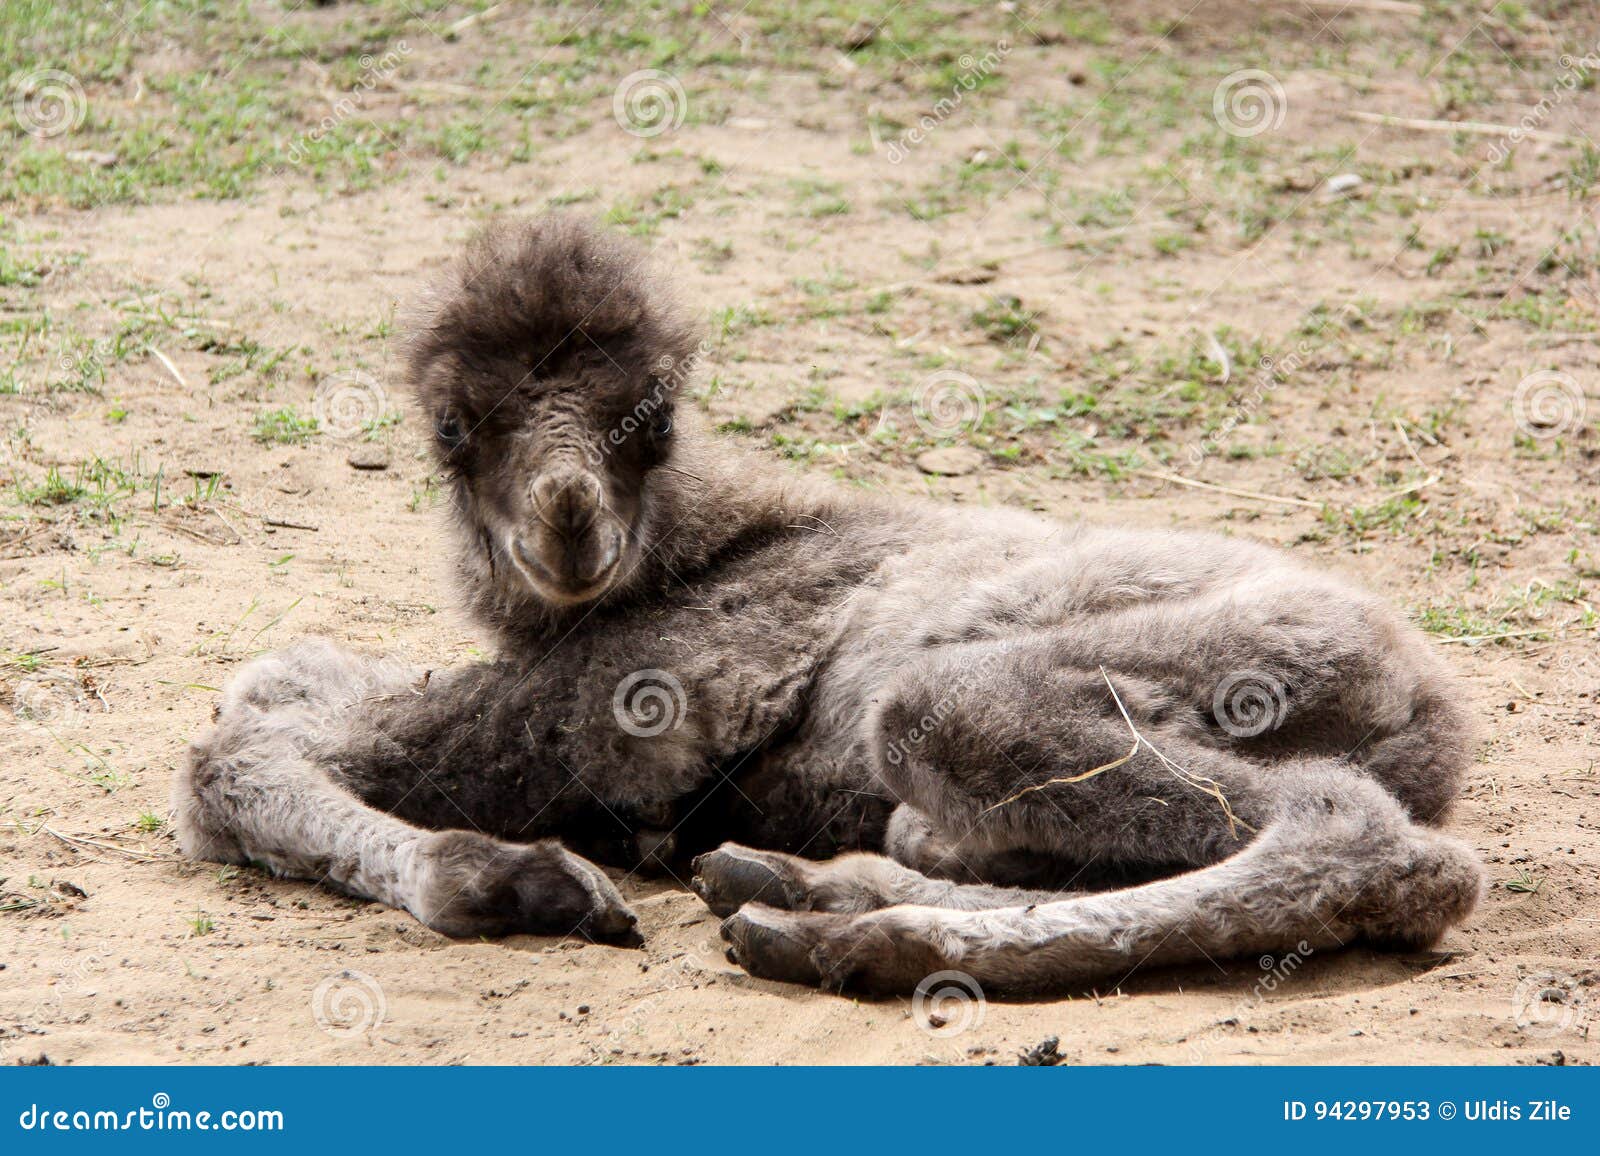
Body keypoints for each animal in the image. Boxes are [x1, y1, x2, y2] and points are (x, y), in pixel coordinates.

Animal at [173, 215, 1483, 995]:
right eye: (452, 427)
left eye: (652, 414)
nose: (569, 528)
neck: (709, 545)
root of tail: (1429, 702)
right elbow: (267, 700)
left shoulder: (649, 698)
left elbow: (235, 747)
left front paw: (516, 878)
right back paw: (805, 887)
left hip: (1001, 695)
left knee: (1378, 845)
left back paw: (836, 938)